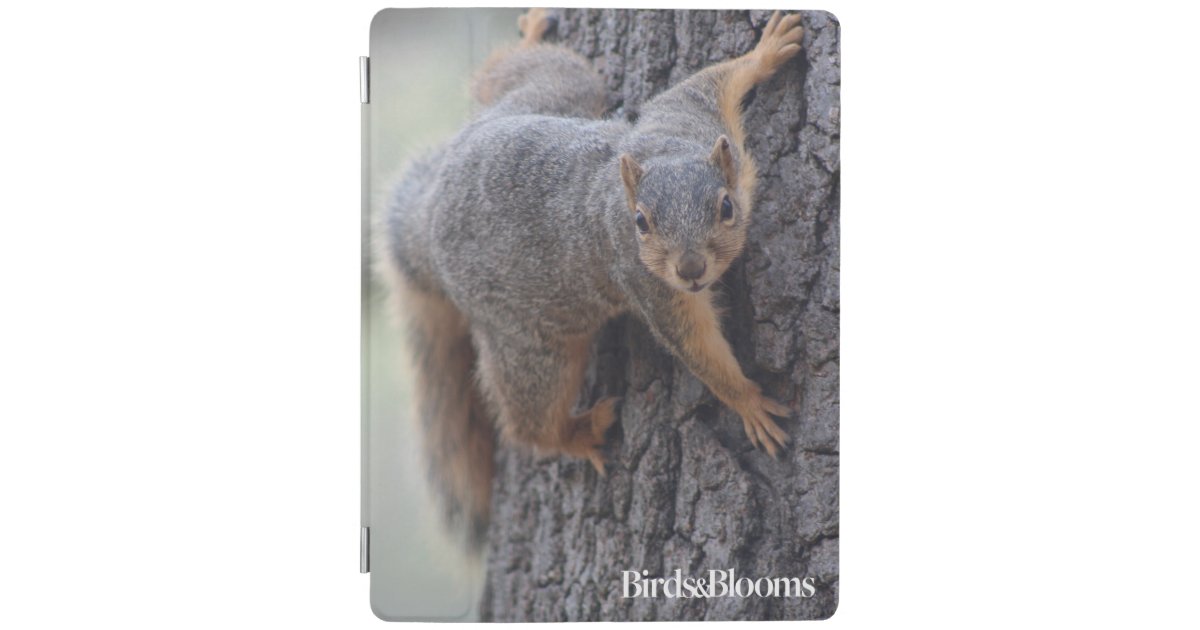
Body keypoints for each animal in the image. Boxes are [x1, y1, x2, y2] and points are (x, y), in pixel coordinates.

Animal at [376, 8, 804, 546]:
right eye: (640, 222)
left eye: (726, 207)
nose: (690, 271)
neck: (666, 154)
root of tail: (429, 216)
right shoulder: (650, 286)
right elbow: (696, 347)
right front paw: (747, 402)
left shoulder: (688, 116)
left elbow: (710, 81)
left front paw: (766, 50)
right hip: (532, 347)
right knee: (529, 421)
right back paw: (577, 433)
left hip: (553, 93)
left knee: (506, 76)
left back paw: (529, 38)